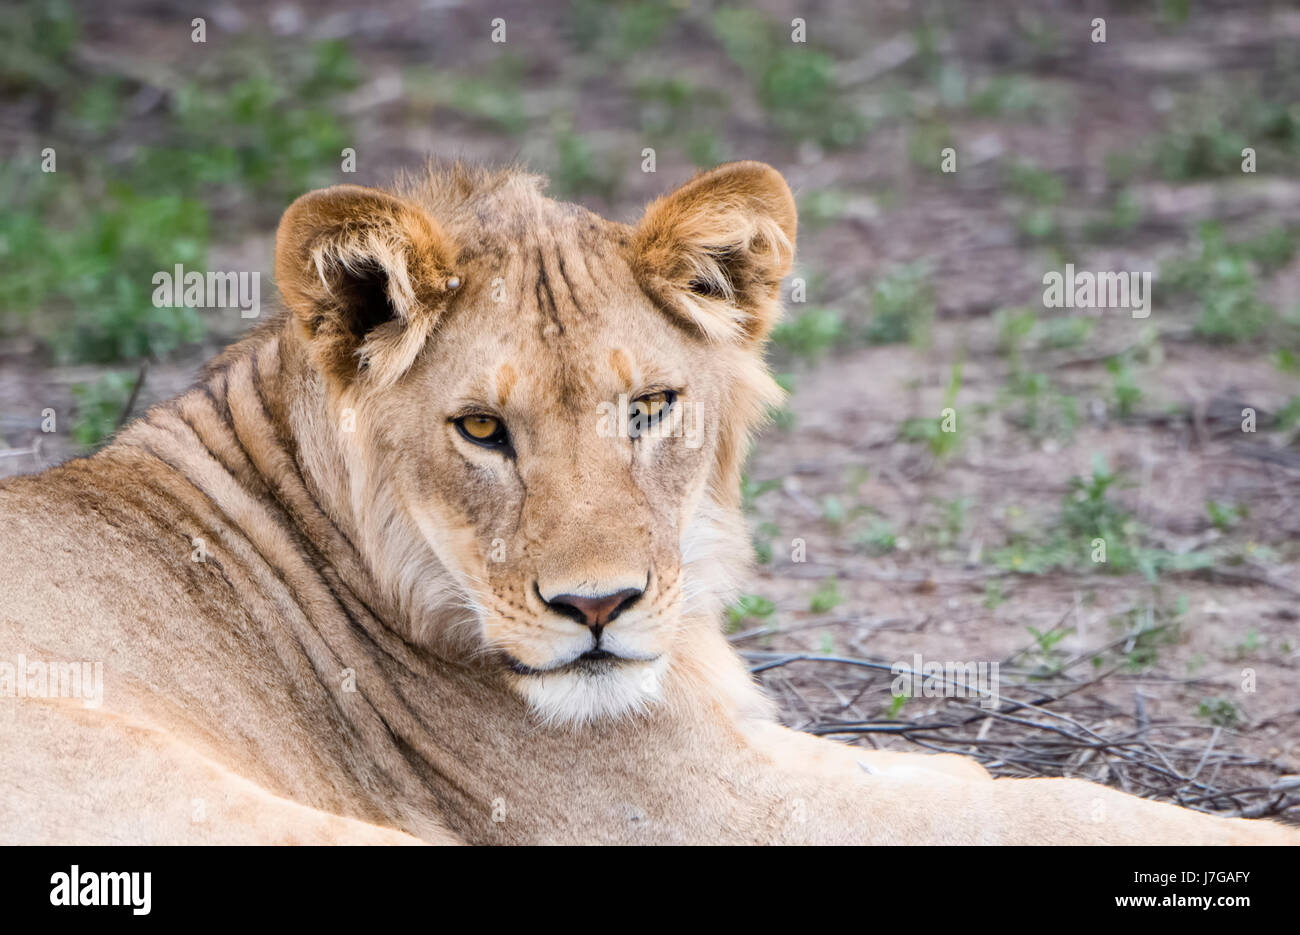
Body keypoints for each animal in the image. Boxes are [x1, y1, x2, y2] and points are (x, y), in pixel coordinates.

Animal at [0, 161, 1292, 844]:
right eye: (481, 429)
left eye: (650, 407)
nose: (597, 607)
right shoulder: (706, 813)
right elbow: (1033, 814)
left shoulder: (756, 751)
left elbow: (1001, 785)